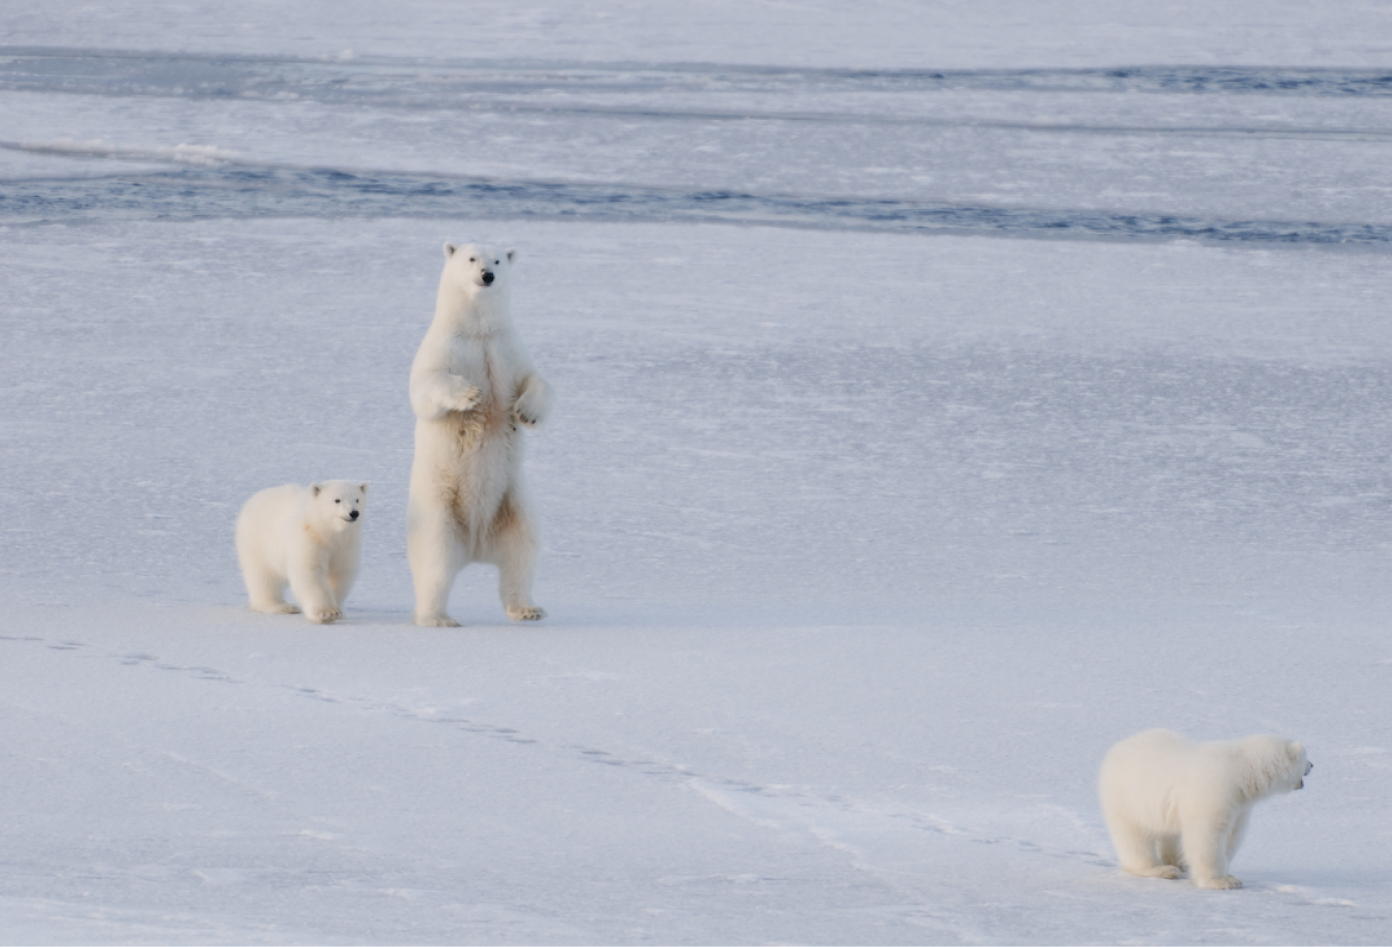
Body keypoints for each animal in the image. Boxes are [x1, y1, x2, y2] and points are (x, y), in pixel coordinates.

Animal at [235, 480, 367, 624]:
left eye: (357, 499)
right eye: (337, 500)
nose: (354, 513)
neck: (324, 531)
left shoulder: (346, 545)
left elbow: (340, 573)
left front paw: (339, 610)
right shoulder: (308, 540)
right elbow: (310, 572)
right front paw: (326, 612)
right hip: (257, 542)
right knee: (264, 576)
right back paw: (281, 606)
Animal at [406, 242, 552, 627]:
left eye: (498, 260)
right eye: (471, 258)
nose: (487, 275)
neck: (478, 332)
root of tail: (475, 547)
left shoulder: (508, 349)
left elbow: (536, 379)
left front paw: (526, 413)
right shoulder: (444, 347)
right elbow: (425, 386)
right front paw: (469, 395)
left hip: (513, 503)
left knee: (522, 552)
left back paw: (528, 608)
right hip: (438, 509)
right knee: (435, 560)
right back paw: (437, 617)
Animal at [1098, 728, 1311, 889]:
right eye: (1305, 757)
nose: (1312, 765)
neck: (1241, 771)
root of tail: (1116, 749)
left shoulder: (1239, 805)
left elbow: (1232, 836)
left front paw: (1229, 874)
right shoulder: (1215, 792)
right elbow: (1207, 835)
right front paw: (1222, 881)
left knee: (1169, 833)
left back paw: (1178, 862)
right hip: (1127, 798)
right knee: (1134, 838)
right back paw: (1160, 869)